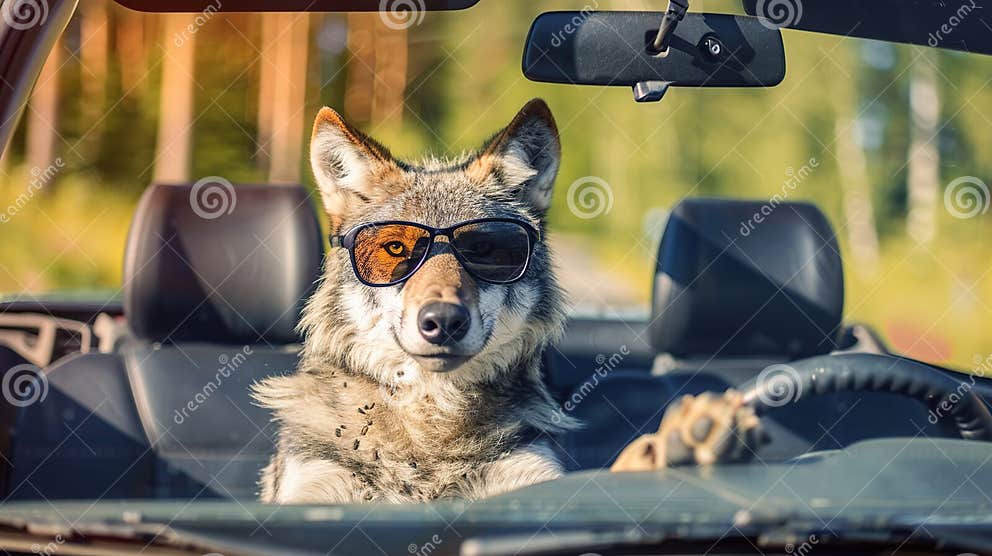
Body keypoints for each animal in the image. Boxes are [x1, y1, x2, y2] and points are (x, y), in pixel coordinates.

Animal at [254, 99, 760, 504]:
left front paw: (681, 442)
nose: (443, 320)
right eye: (395, 249)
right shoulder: (310, 496)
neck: (431, 423)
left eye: (486, 250)